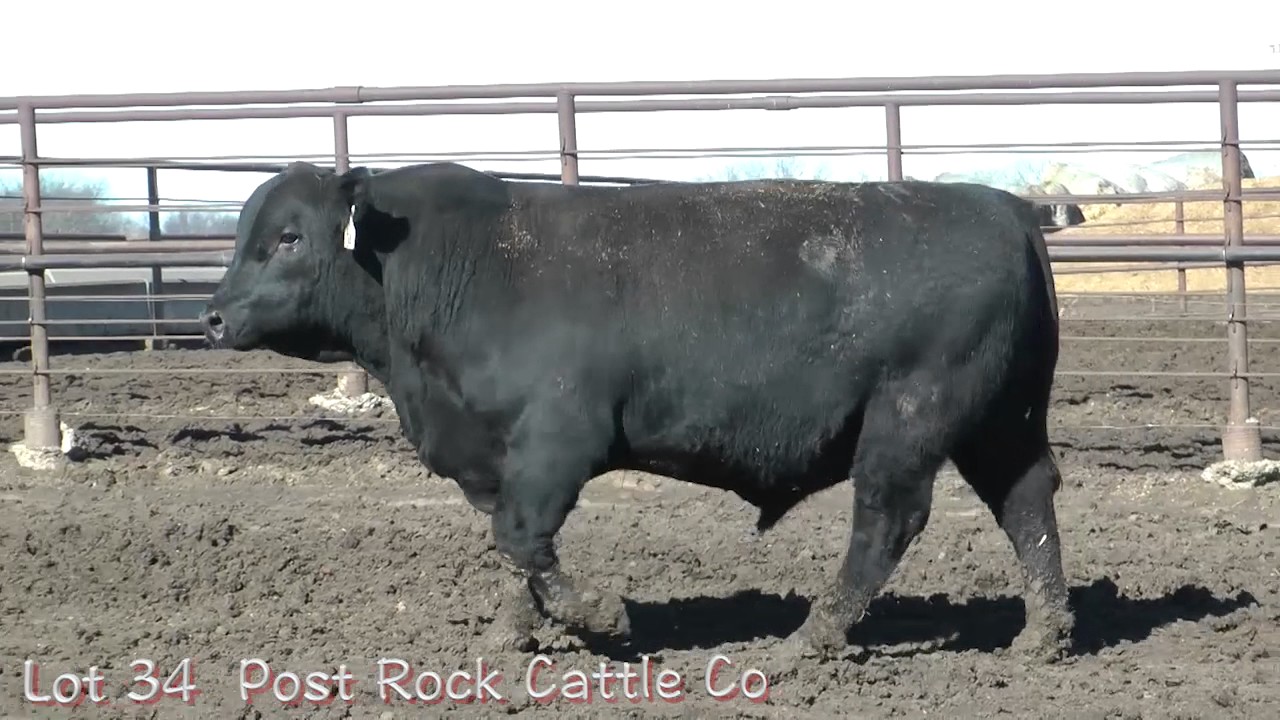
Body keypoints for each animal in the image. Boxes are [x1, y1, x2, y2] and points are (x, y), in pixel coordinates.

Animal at [200, 161, 1074, 662]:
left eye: (288, 237)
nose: (211, 317)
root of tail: (1004, 210)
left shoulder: (557, 439)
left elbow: (522, 537)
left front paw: (599, 616)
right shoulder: (498, 456)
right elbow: (514, 548)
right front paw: (513, 632)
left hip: (909, 418)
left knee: (887, 521)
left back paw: (812, 639)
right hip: (1002, 422)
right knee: (1028, 504)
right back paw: (1043, 634)